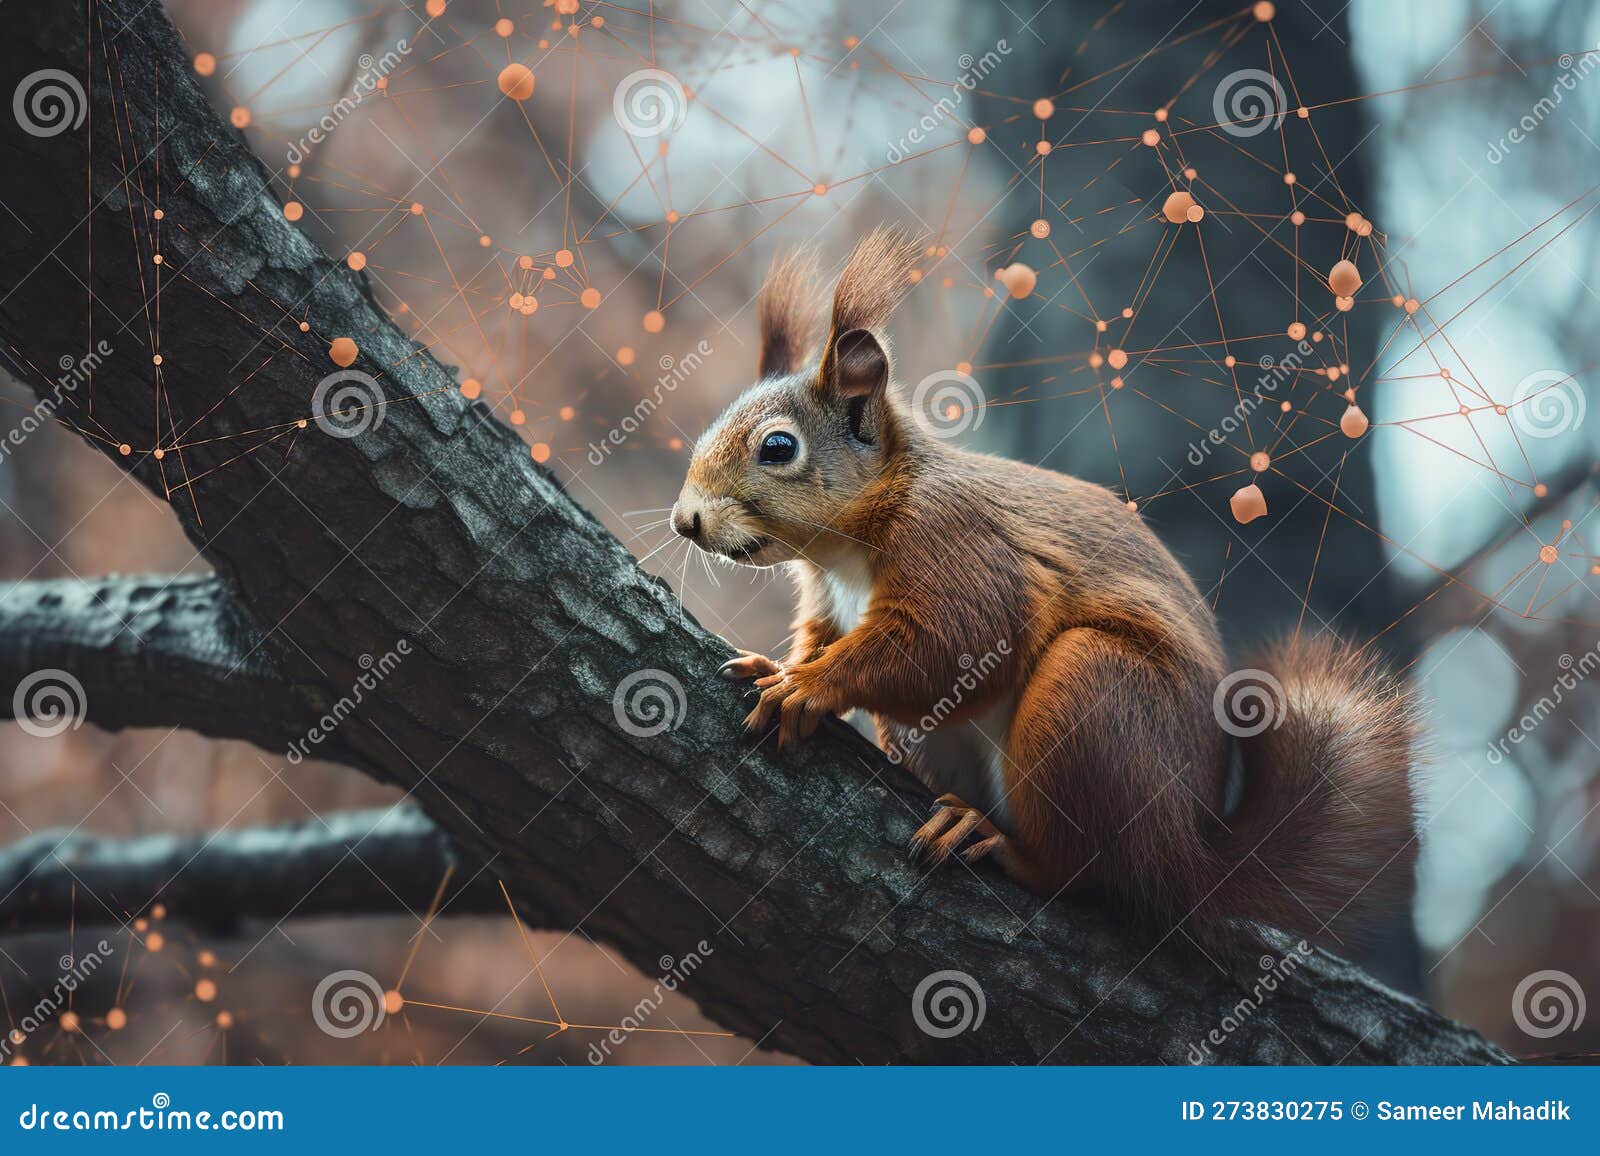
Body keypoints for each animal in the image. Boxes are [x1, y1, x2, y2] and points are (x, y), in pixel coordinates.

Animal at [670, 226, 1418, 951]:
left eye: (777, 448)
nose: (685, 521)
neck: (845, 549)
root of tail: (1190, 862)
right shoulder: (827, 595)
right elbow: (823, 636)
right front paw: (778, 665)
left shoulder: (958, 545)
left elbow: (951, 645)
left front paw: (809, 686)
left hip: (1095, 698)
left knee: (1092, 874)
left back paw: (996, 841)